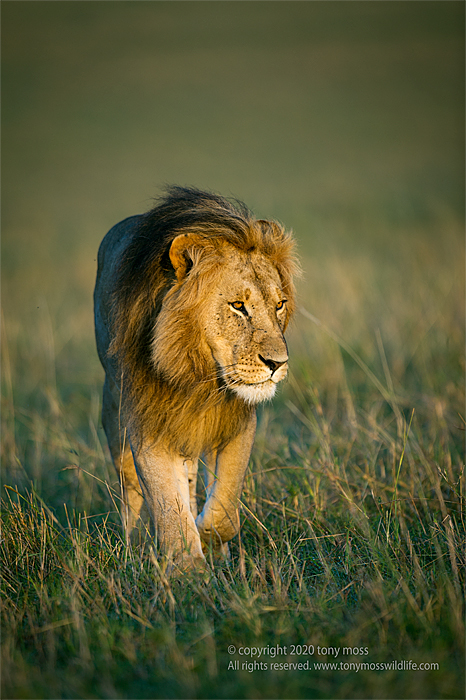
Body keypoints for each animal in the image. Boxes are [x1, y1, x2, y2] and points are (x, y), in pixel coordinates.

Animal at [94, 186, 298, 568]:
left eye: (279, 305)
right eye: (238, 306)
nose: (278, 363)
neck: (199, 376)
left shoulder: (237, 422)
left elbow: (225, 508)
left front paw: (209, 539)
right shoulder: (147, 425)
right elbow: (168, 508)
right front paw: (187, 569)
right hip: (113, 409)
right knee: (130, 488)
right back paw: (134, 542)